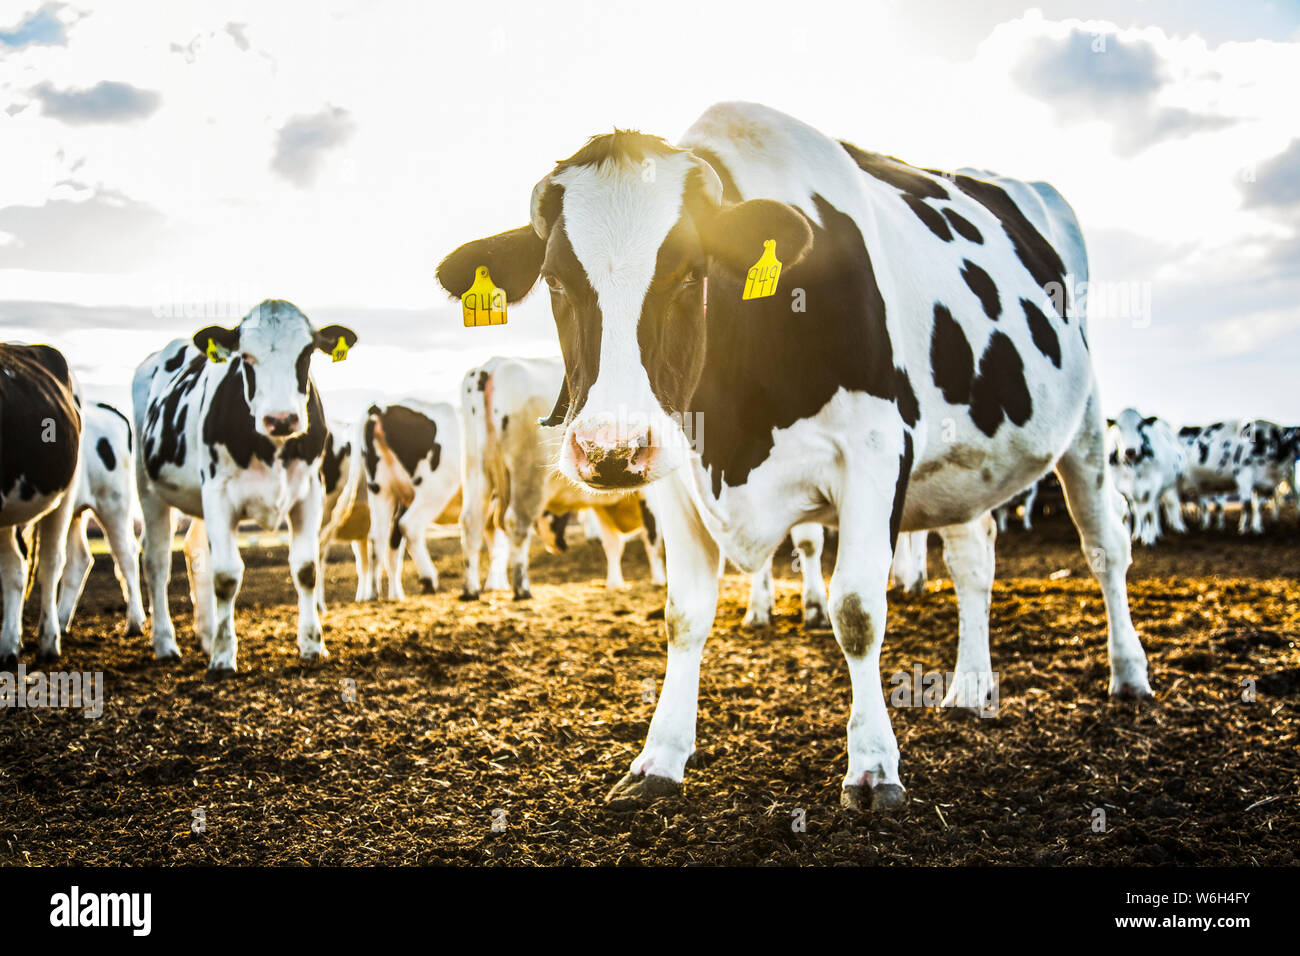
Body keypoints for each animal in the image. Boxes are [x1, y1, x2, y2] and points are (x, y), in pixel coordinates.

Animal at [56, 401, 147, 637]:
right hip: (74, 512)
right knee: (79, 559)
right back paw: (59, 621)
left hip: (113, 504)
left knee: (126, 555)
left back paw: (134, 622)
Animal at [132, 299, 357, 673]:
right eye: (246, 357)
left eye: (307, 352)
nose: (281, 419)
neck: (273, 448)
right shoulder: (220, 494)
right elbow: (226, 576)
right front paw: (224, 657)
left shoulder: (310, 492)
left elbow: (306, 569)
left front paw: (313, 646)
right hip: (148, 487)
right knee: (156, 560)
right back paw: (166, 643)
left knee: (195, 551)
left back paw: (207, 635)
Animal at [436, 102, 1152, 811]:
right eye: (556, 282)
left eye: (689, 274)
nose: (611, 449)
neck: (734, 436)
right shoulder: (673, 476)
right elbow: (683, 615)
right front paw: (659, 758)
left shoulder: (877, 450)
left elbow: (857, 610)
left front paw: (874, 766)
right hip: (965, 460)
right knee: (974, 559)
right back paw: (971, 686)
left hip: (1087, 423)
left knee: (1105, 546)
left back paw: (1129, 674)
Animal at [1106, 409, 1187, 546]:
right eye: (1119, 427)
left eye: (1140, 427)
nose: (1130, 451)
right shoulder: (1122, 490)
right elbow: (1128, 514)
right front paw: (1129, 538)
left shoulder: (1152, 488)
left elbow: (1148, 514)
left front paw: (1148, 539)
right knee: (1139, 511)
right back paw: (1138, 533)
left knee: (1157, 508)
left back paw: (1157, 532)